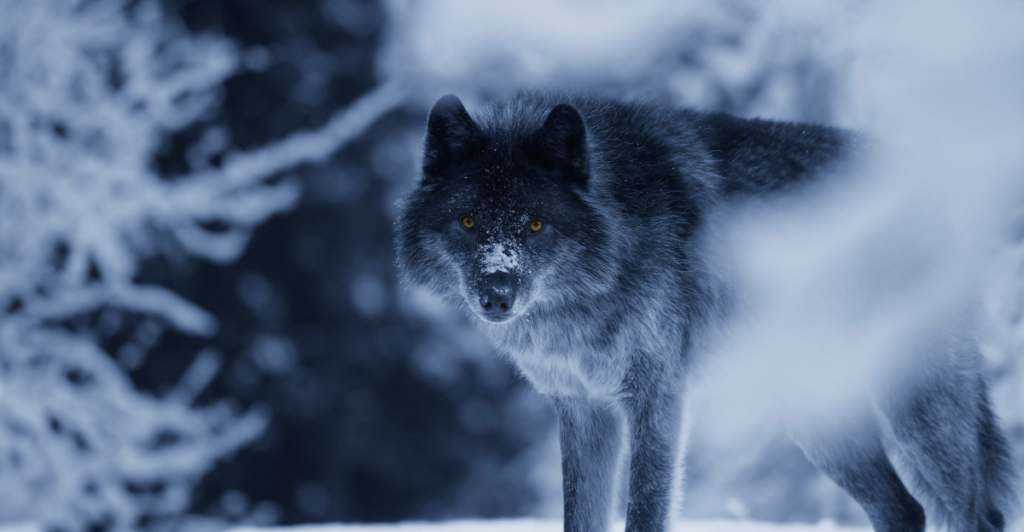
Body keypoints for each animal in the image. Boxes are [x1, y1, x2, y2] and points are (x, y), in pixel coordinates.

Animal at [394, 91, 1017, 532]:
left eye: (535, 225)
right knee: (904, 511)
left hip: (915, 407)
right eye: (468, 222)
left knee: (975, 516)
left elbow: (645, 512)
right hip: (820, 422)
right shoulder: (583, 410)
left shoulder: (658, 399)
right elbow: (581, 517)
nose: (496, 295)